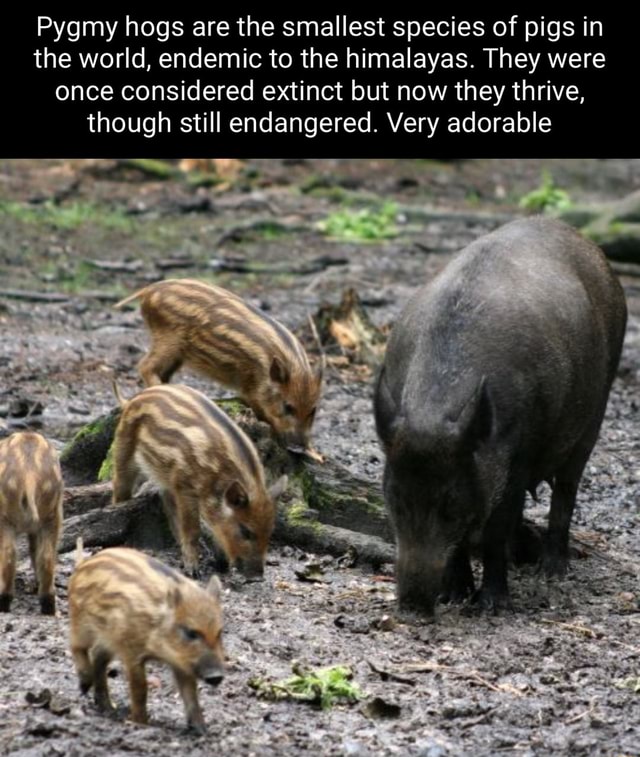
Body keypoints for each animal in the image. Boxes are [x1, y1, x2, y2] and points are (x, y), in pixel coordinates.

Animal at [0, 431, 63, 614]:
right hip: (50, 515)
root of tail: (29, 474)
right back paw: (48, 607)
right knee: (46, 555)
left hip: (6, 518)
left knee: (8, 554)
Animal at [68, 546, 224, 733]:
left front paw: (202, 730)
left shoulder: (182, 662)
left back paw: (108, 708)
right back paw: (84, 686)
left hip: (108, 637)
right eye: (191, 633)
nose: (217, 677)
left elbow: (191, 693)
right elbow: (140, 688)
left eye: (219, 632)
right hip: (81, 623)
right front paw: (140, 724)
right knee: (75, 645)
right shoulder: (131, 652)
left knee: (98, 655)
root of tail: (84, 564)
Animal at [111, 383, 287, 578]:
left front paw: (221, 564)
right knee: (119, 487)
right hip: (124, 449)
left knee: (166, 500)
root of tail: (133, 399)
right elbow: (193, 529)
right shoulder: (185, 487)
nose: (257, 575)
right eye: (245, 531)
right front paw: (193, 570)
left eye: (270, 531)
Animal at [114, 279, 323, 452]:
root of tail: (148, 290)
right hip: (168, 340)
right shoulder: (249, 386)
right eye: (288, 407)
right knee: (145, 366)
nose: (300, 448)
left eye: (313, 410)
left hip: (176, 354)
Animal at [374, 217, 627, 616]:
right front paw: (454, 597)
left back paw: (552, 572)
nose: (413, 605)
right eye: (395, 499)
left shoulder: (519, 450)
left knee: (567, 490)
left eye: (450, 504)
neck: (433, 413)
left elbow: (495, 527)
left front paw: (492, 605)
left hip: (596, 411)